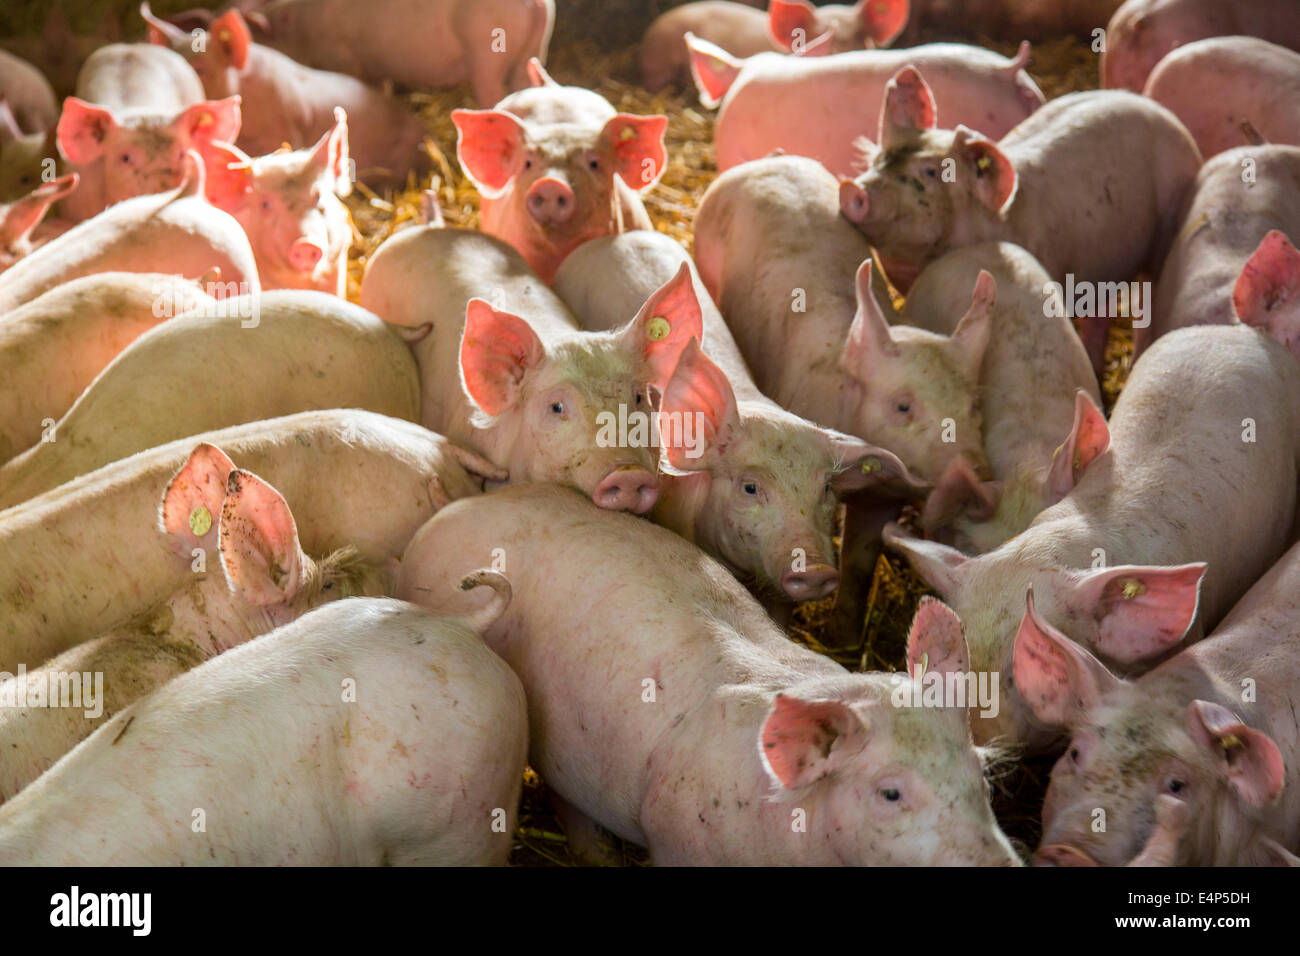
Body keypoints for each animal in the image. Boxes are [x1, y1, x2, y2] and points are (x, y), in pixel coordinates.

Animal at [251, 0, 556, 107]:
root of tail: (535, 3)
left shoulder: (342, 55)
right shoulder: (374, 66)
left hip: (486, 52)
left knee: (491, 92)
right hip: (535, 47)